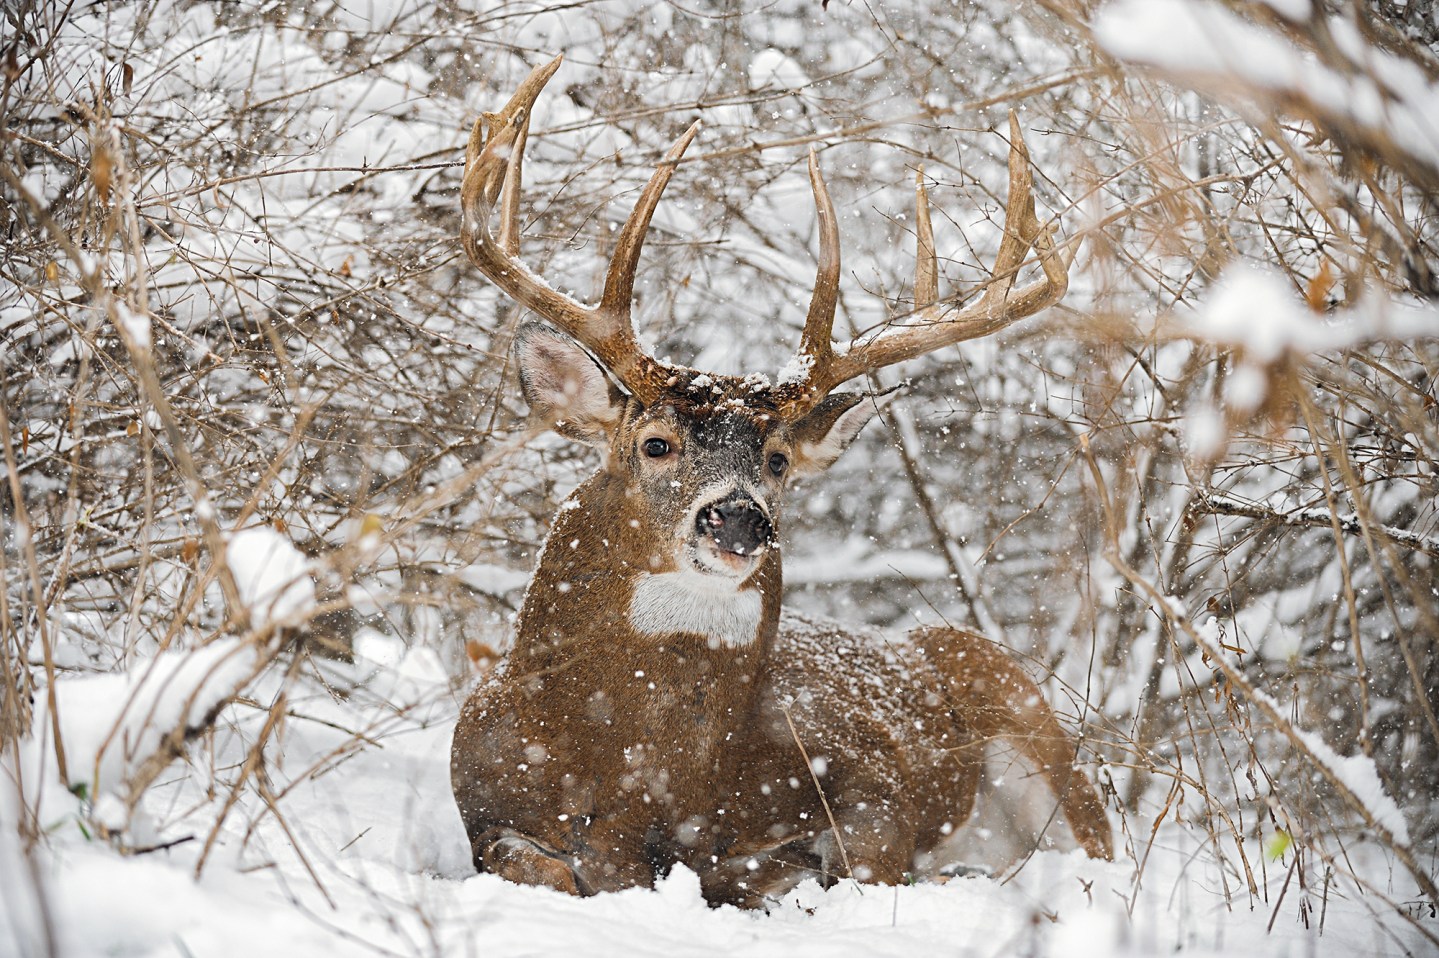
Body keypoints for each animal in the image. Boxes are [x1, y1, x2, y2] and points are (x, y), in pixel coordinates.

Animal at [450, 56, 1113, 909]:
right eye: (655, 443)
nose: (737, 519)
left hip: (1031, 720)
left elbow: (840, 861)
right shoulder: (483, 812)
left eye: (776, 461)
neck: (633, 781)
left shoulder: (866, 781)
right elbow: (540, 868)